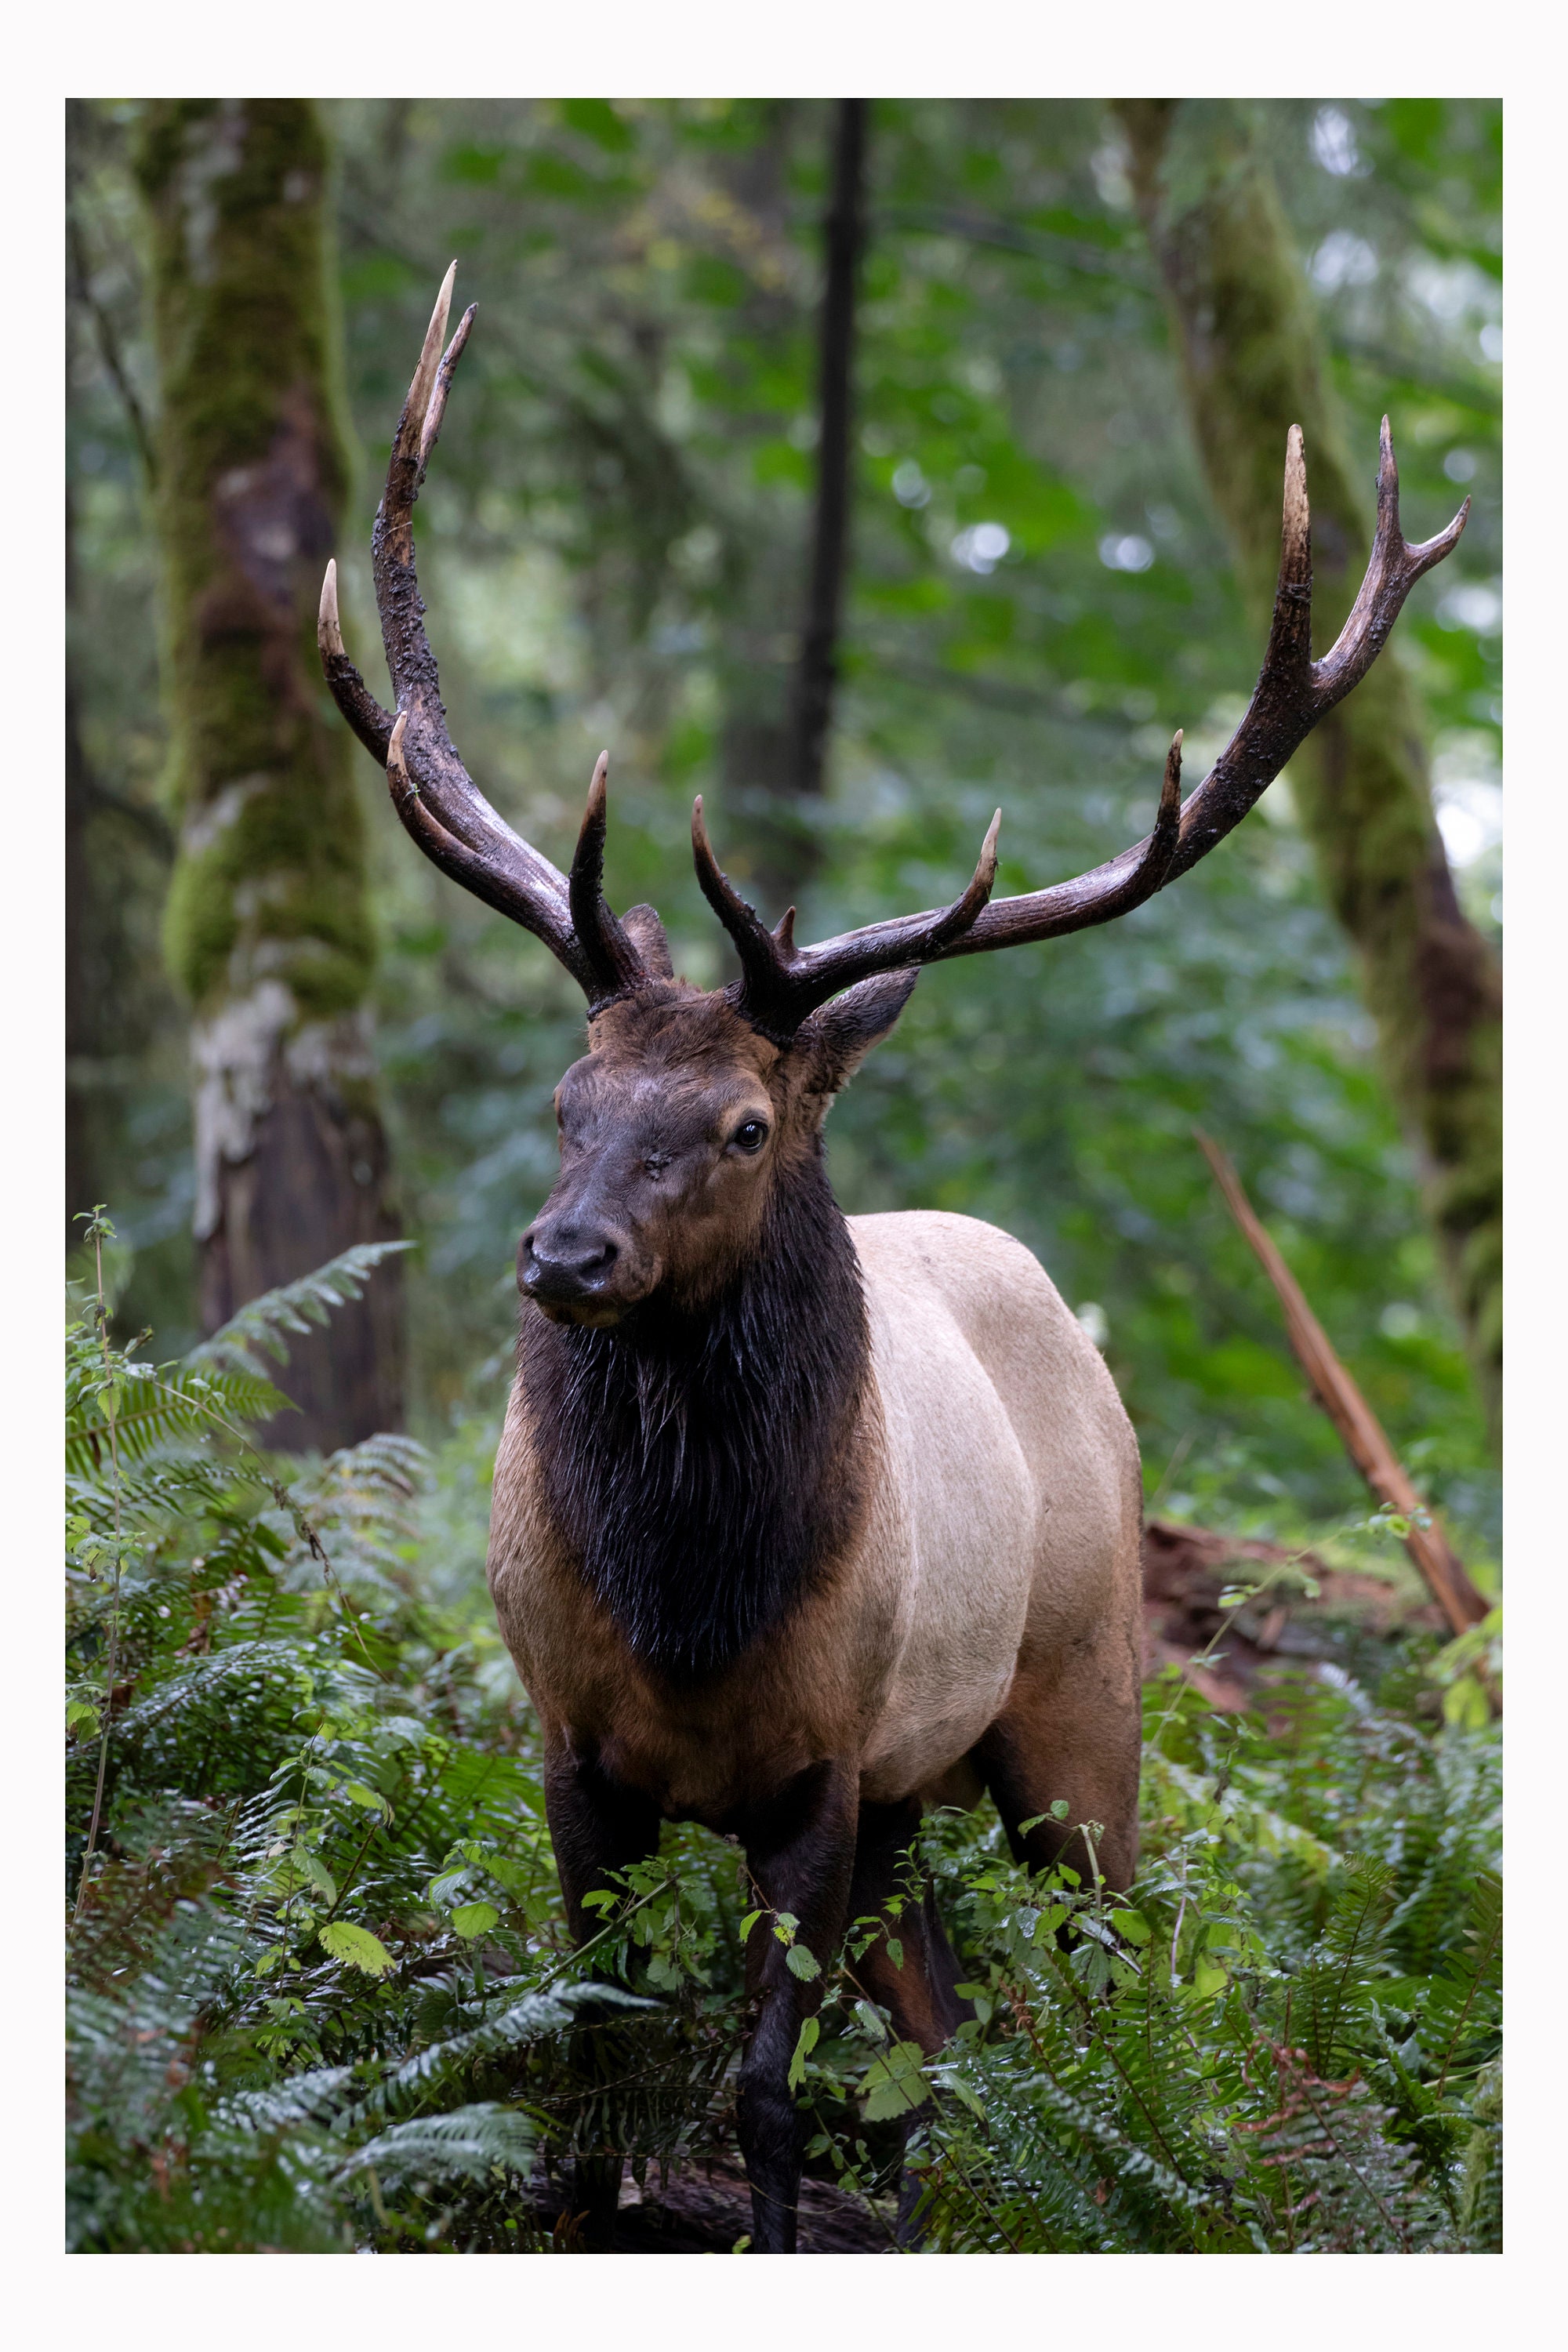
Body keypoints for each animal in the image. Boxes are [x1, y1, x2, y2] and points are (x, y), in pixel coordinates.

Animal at [317, 267, 1467, 2251]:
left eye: (742, 1126)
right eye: (566, 1095)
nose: (564, 1254)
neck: (692, 1608)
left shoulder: (823, 1766)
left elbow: (769, 2091)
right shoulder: (571, 1744)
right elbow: (585, 2056)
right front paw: (589, 2194)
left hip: (1073, 1708)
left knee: (1104, 1981)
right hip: (927, 1788)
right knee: (932, 2022)